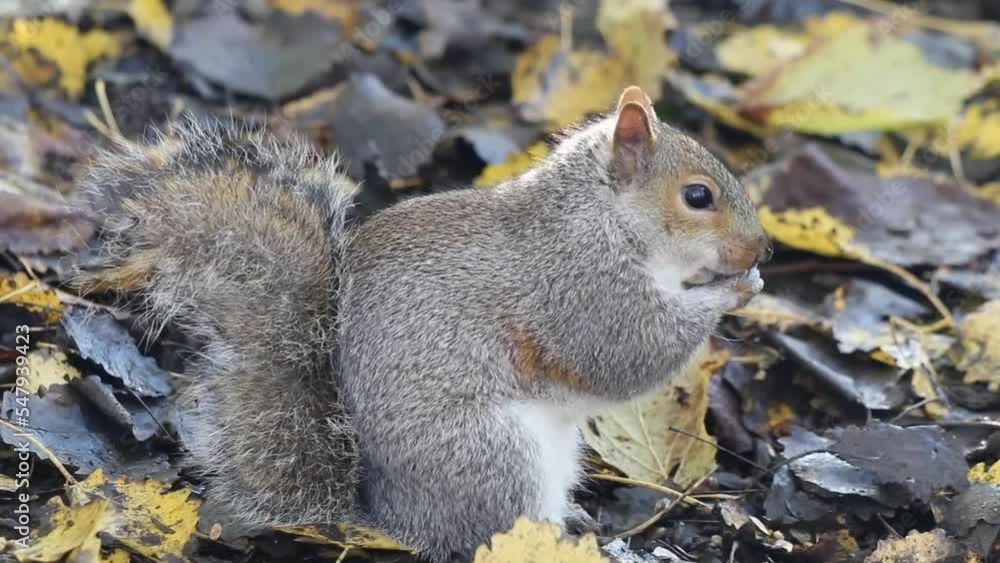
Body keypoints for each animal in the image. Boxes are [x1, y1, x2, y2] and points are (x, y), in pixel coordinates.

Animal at [77, 86, 769, 562]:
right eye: (698, 196)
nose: (761, 249)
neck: (600, 218)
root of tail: (391, 523)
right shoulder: (577, 287)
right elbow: (627, 353)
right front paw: (732, 293)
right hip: (494, 457)